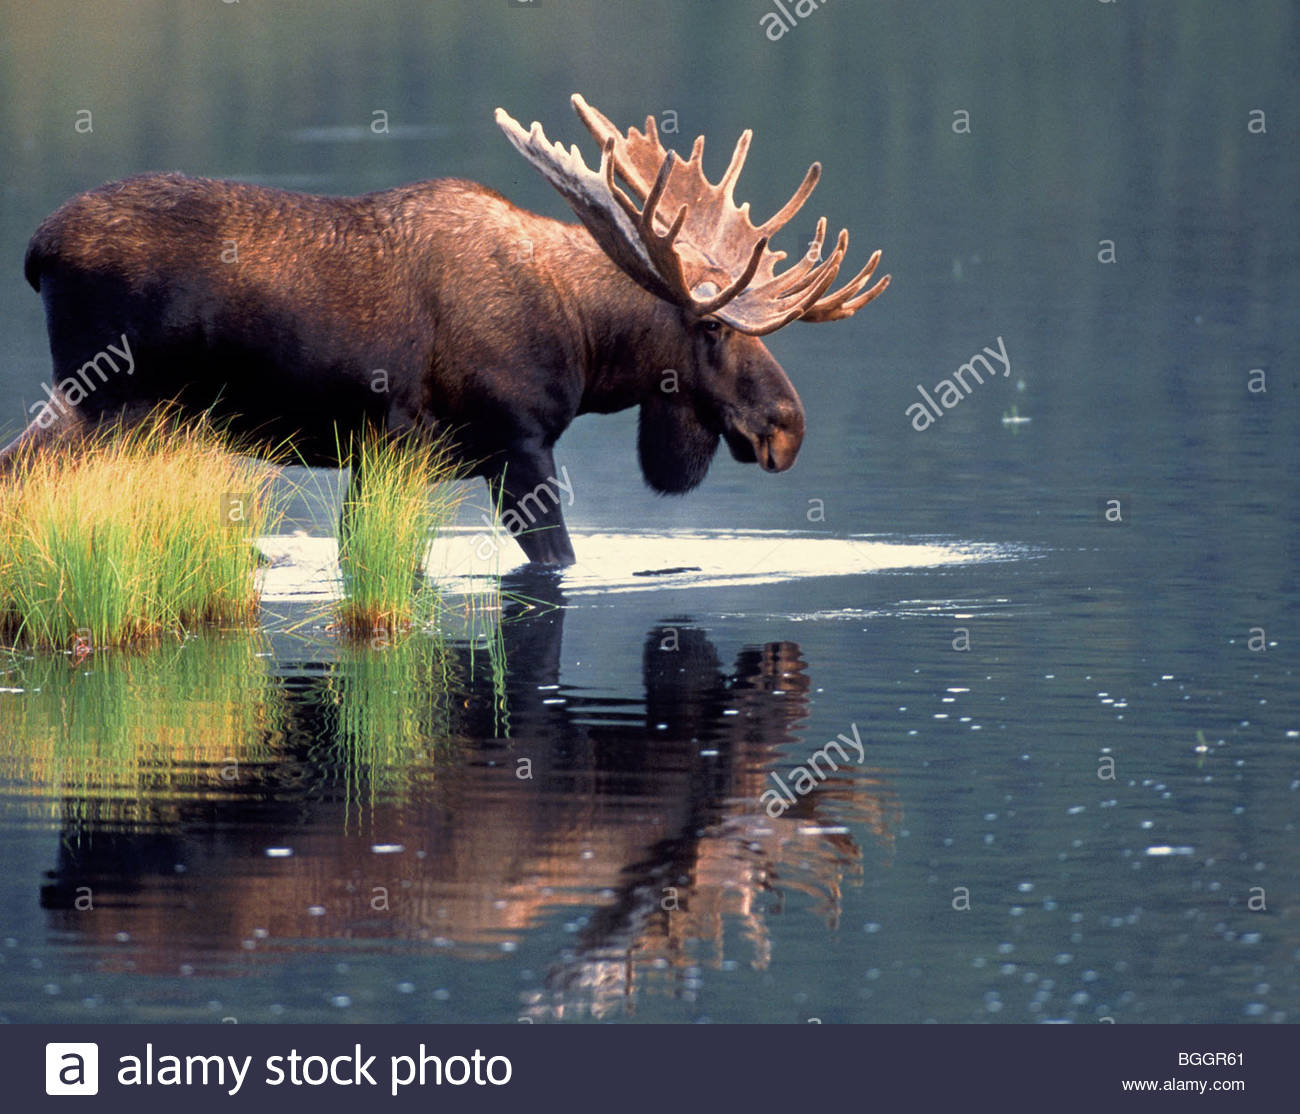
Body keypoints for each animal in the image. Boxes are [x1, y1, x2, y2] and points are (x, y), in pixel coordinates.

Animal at [4, 94, 889, 565]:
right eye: (717, 333)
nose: (788, 425)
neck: (590, 345)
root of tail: (37, 249)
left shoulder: (380, 456)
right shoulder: (517, 443)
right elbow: (557, 562)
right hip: (102, 403)